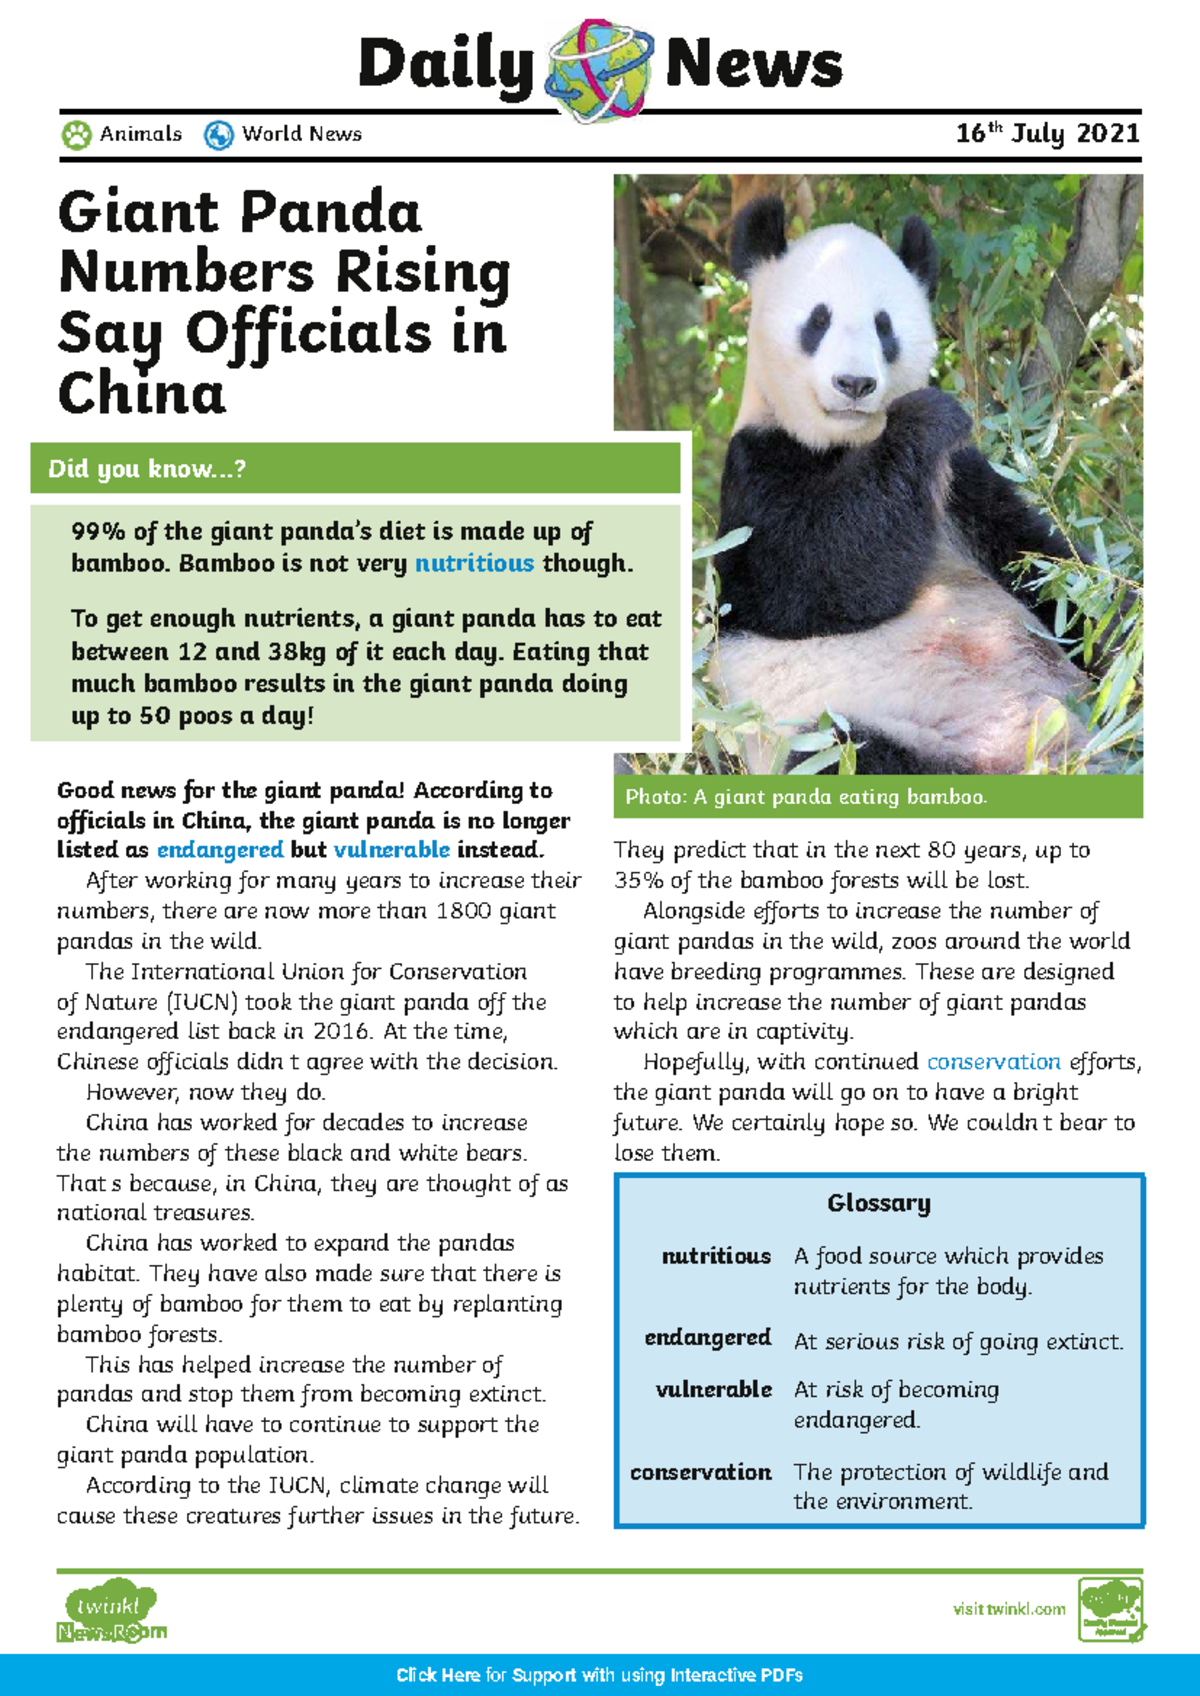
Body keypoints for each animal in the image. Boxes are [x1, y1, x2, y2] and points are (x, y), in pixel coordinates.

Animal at [713, 195, 1102, 776]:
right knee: (852, 753)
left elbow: (1049, 572)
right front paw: (926, 415)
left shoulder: (961, 483)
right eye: (818, 320)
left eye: (884, 326)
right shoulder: (755, 470)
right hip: (851, 729)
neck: (844, 443)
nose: (854, 383)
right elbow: (809, 576)